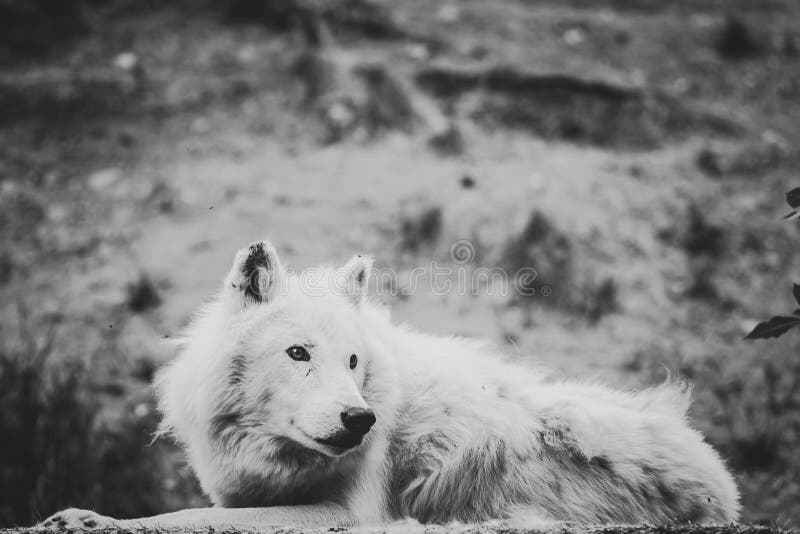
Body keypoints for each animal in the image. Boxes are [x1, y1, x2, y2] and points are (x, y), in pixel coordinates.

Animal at [41, 239, 739, 530]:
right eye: (298, 353)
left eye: (353, 361)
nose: (360, 421)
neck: (277, 458)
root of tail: (723, 483)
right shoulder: (238, 494)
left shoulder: (345, 512)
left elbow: (180, 517)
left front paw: (92, 519)